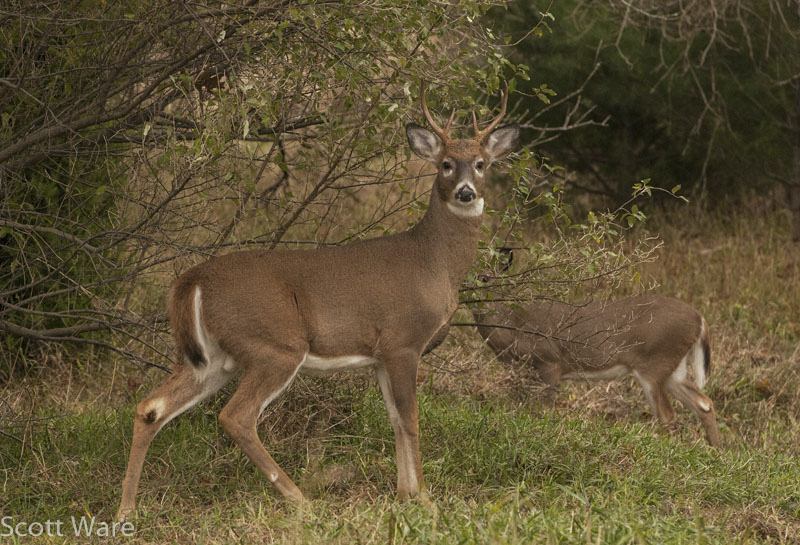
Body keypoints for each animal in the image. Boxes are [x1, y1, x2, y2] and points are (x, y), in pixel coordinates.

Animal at [116, 83, 520, 521]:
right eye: (446, 164)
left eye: (480, 164)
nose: (465, 191)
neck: (434, 262)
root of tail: (192, 280)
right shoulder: (403, 341)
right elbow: (411, 419)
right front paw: (425, 498)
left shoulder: (381, 356)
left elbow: (395, 420)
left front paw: (403, 493)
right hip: (274, 344)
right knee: (236, 416)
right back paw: (300, 499)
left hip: (211, 358)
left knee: (151, 407)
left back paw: (126, 510)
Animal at [472, 250, 721, 447]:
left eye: (485, 277)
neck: (512, 329)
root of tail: (700, 320)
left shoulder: (549, 362)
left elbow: (543, 410)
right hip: (673, 367)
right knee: (703, 403)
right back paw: (717, 452)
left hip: (655, 360)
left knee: (667, 415)